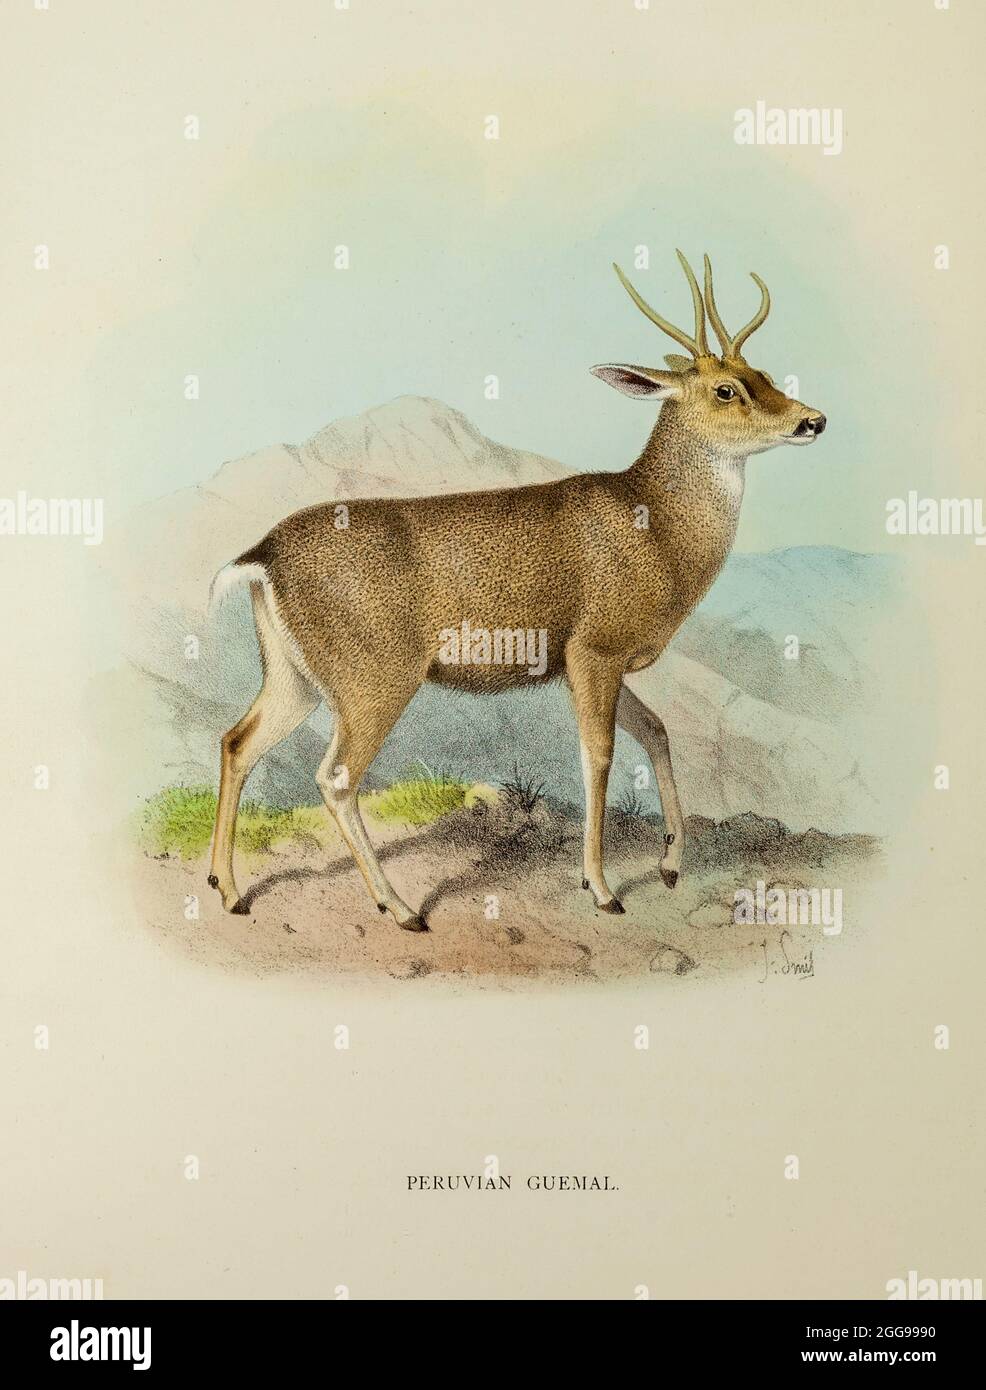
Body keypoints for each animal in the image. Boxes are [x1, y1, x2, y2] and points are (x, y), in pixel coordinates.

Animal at [207, 251, 826, 931]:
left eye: (762, 373)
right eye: (725, 389)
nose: (813, 420)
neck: (656, 528)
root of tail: (260, 558)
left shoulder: (580, 660)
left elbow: (657, 730)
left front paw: (669, 863)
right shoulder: (594, 647)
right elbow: (599, 756)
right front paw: (602, 888)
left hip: (294, 672)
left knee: (237, 741)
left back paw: (229, 888)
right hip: (374, 671)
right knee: (336, 777)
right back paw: (400, 907)